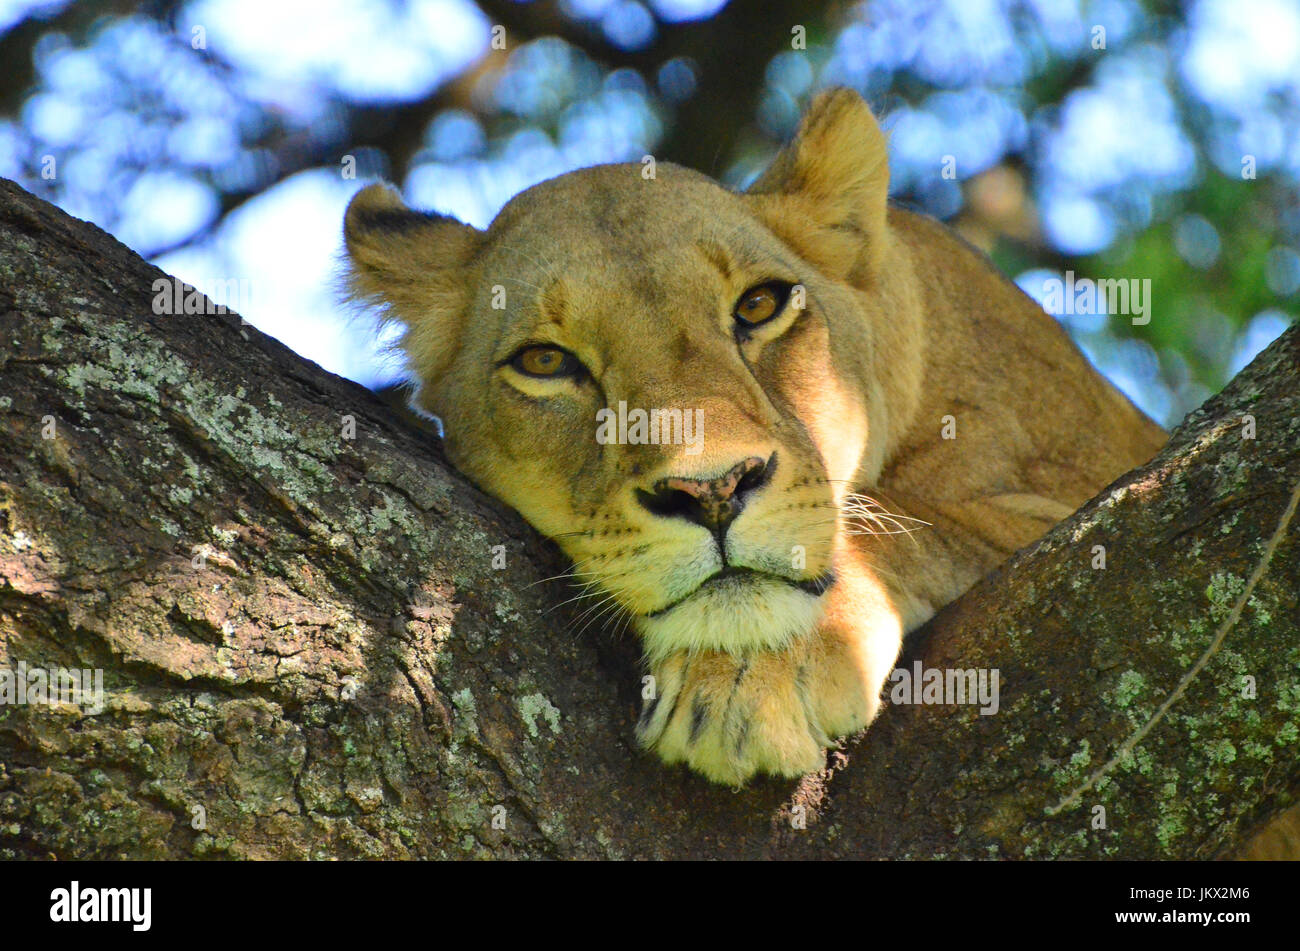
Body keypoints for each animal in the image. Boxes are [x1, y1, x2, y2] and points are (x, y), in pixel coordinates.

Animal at [342, 88, 1167, 785]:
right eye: (546, 362)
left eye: (761, 305)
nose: (710, 490)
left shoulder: (1083, 491)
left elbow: (912, 523)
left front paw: (755, 678)